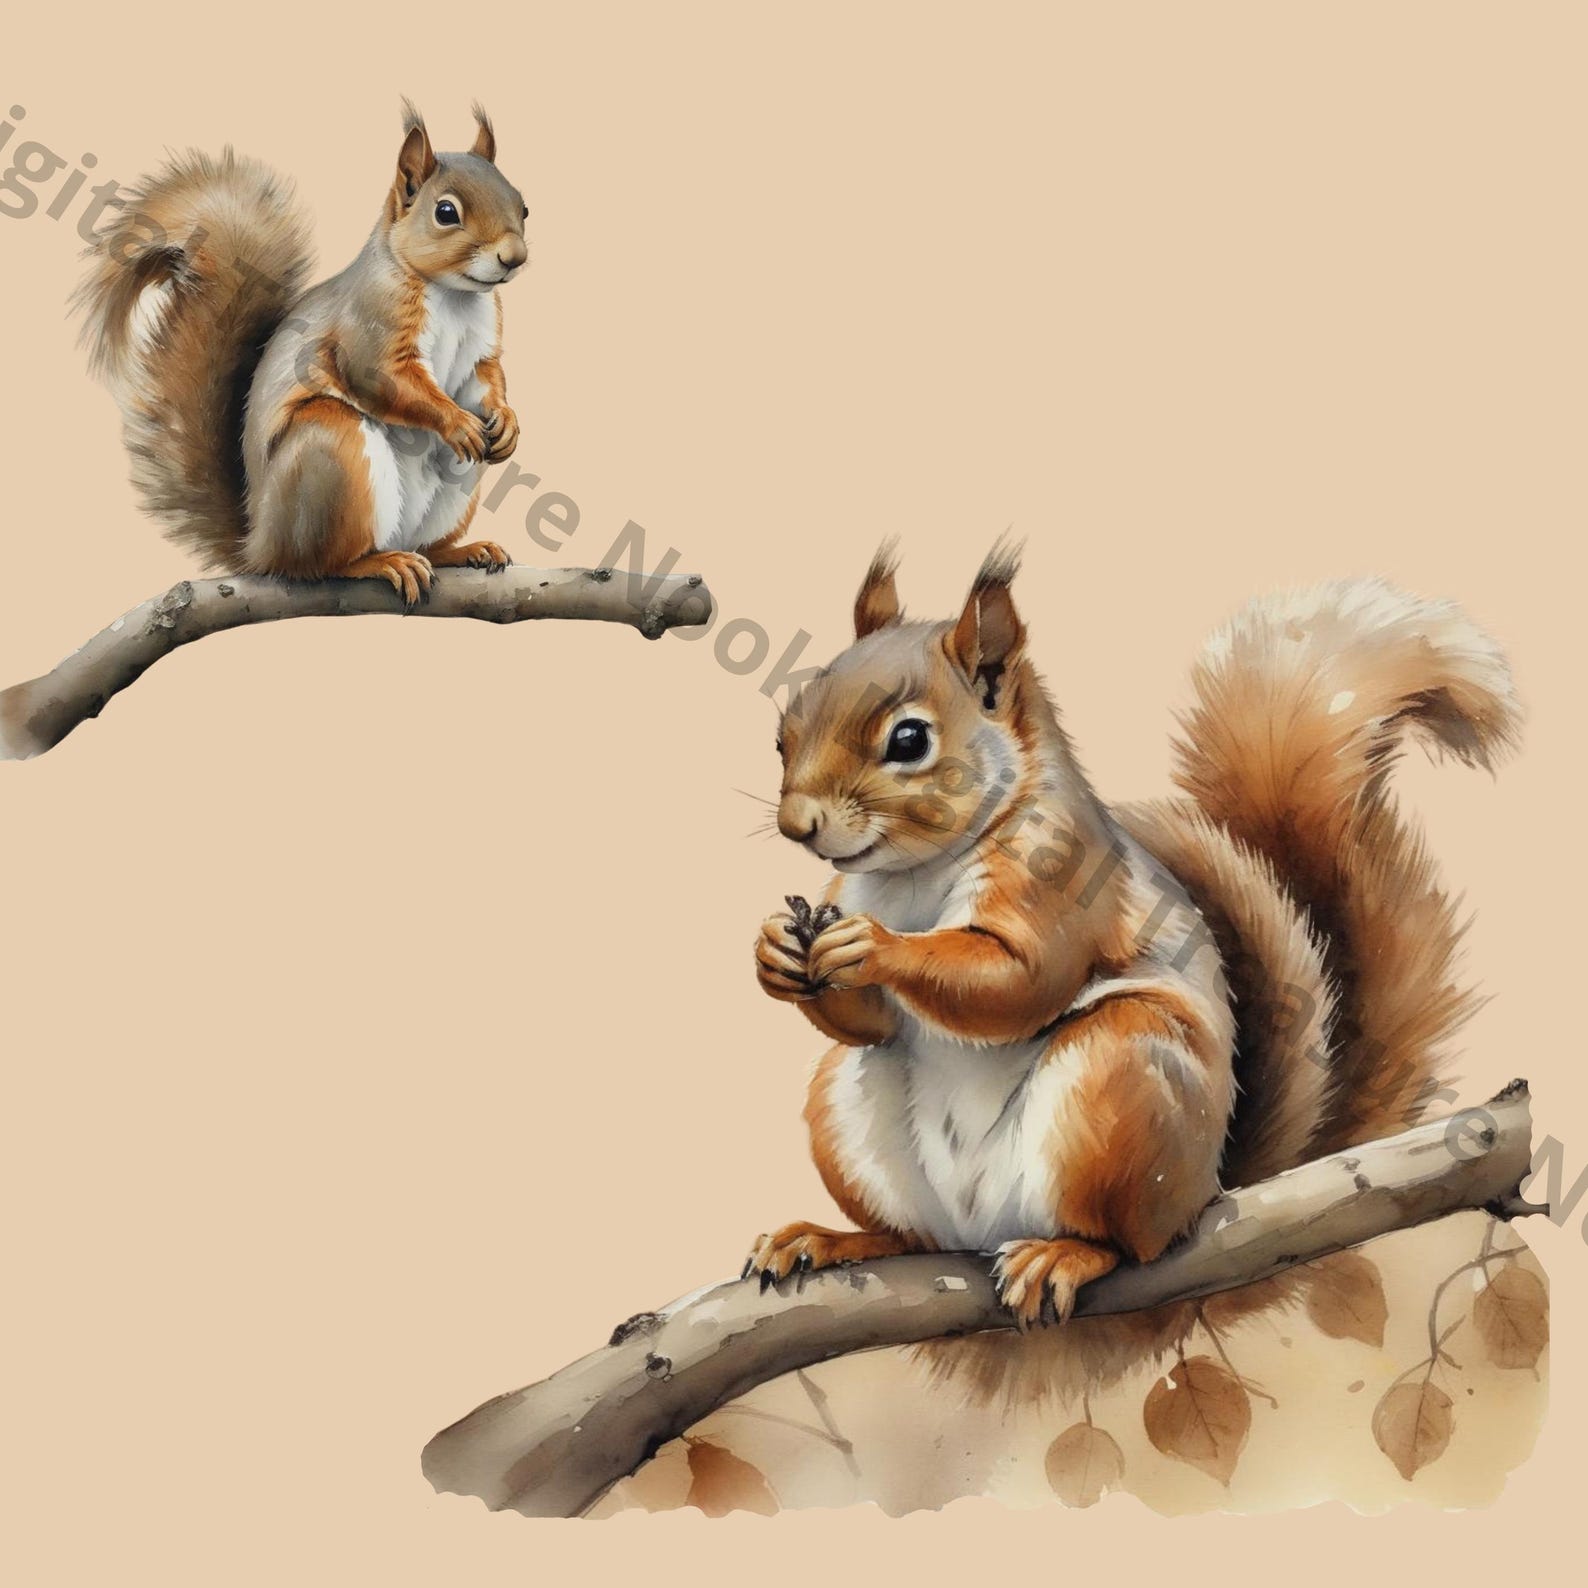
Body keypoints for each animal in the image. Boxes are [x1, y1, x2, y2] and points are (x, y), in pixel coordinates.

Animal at [73, 104, 526, 605]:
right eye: (446, 212)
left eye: (523, 205)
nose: (515, 257)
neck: (453, 295)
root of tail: (257, 546)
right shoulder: (367, 328)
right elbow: (382, 379)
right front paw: (456, 422)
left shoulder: (481, 349)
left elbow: (486, 379)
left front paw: (507, 421)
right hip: (329, 453)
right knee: (318, 564)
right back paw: (380, 562)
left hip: (452, 487)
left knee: (427, 542)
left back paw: (461, 551)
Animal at [749, 546, 1518, 1393]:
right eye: (784, 732)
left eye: (910, 740)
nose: (796, 824)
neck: (914, 873)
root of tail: (1206, 1193)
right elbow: (873, 1020)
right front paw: (775, 951)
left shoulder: (1060, 886)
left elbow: (1017, 982)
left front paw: (875, 947)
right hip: (854, 1113)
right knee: (917, 1232)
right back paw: (835, 1243)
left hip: (1120, 1079)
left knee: (1127, 1243)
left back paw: (1064, 1254)